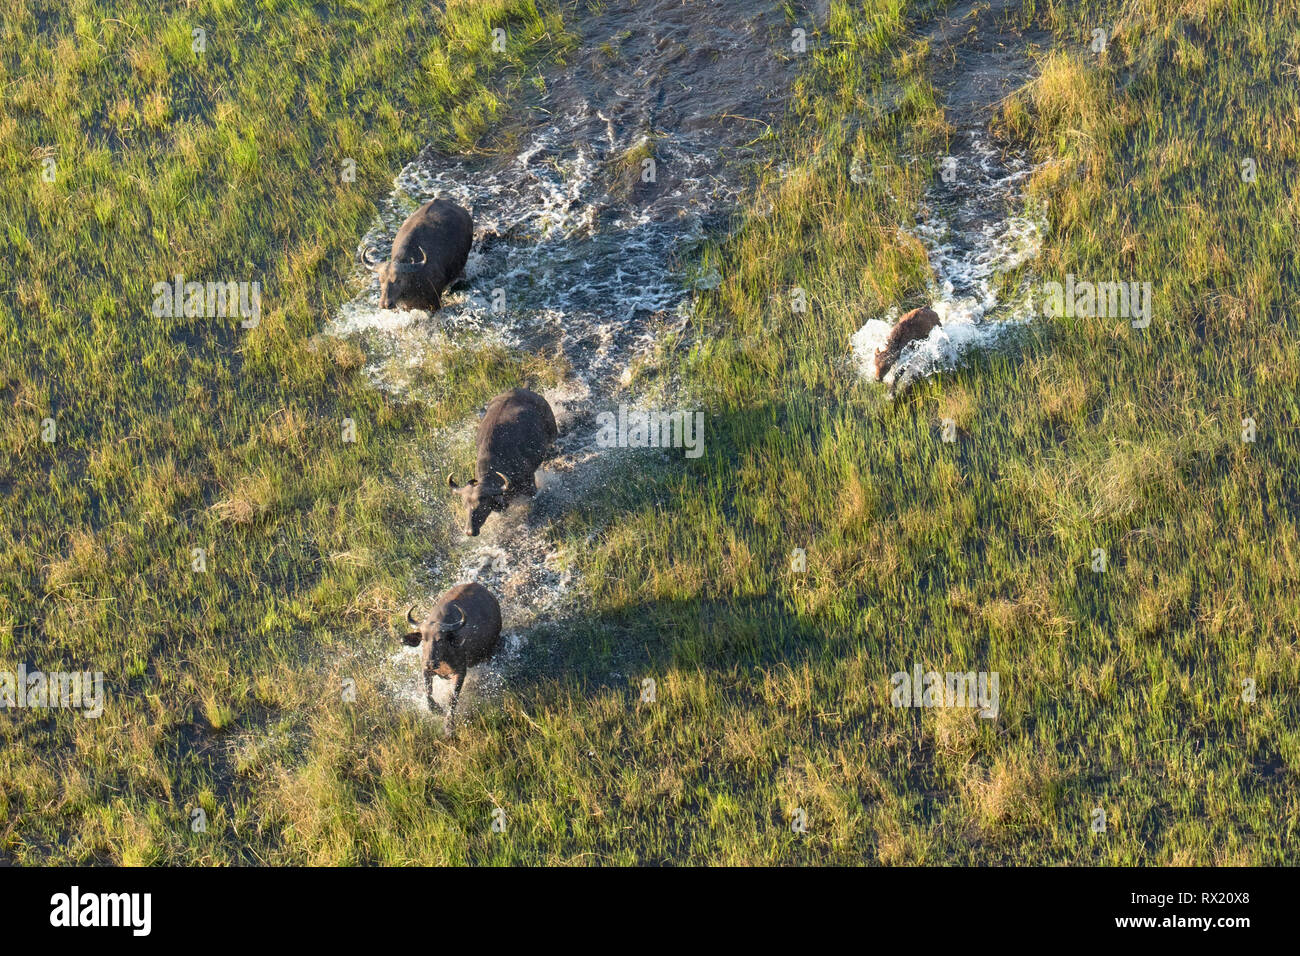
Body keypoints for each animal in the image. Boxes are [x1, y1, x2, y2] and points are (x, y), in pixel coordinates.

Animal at [400, 582, 503, 726]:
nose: (430, 663)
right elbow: (428, 690)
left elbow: (453, 697)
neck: (443, 659)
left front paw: (449, 724)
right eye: (423, 639)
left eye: (440, 639)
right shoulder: (425, 669)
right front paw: (436, 709)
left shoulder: (460, 672)